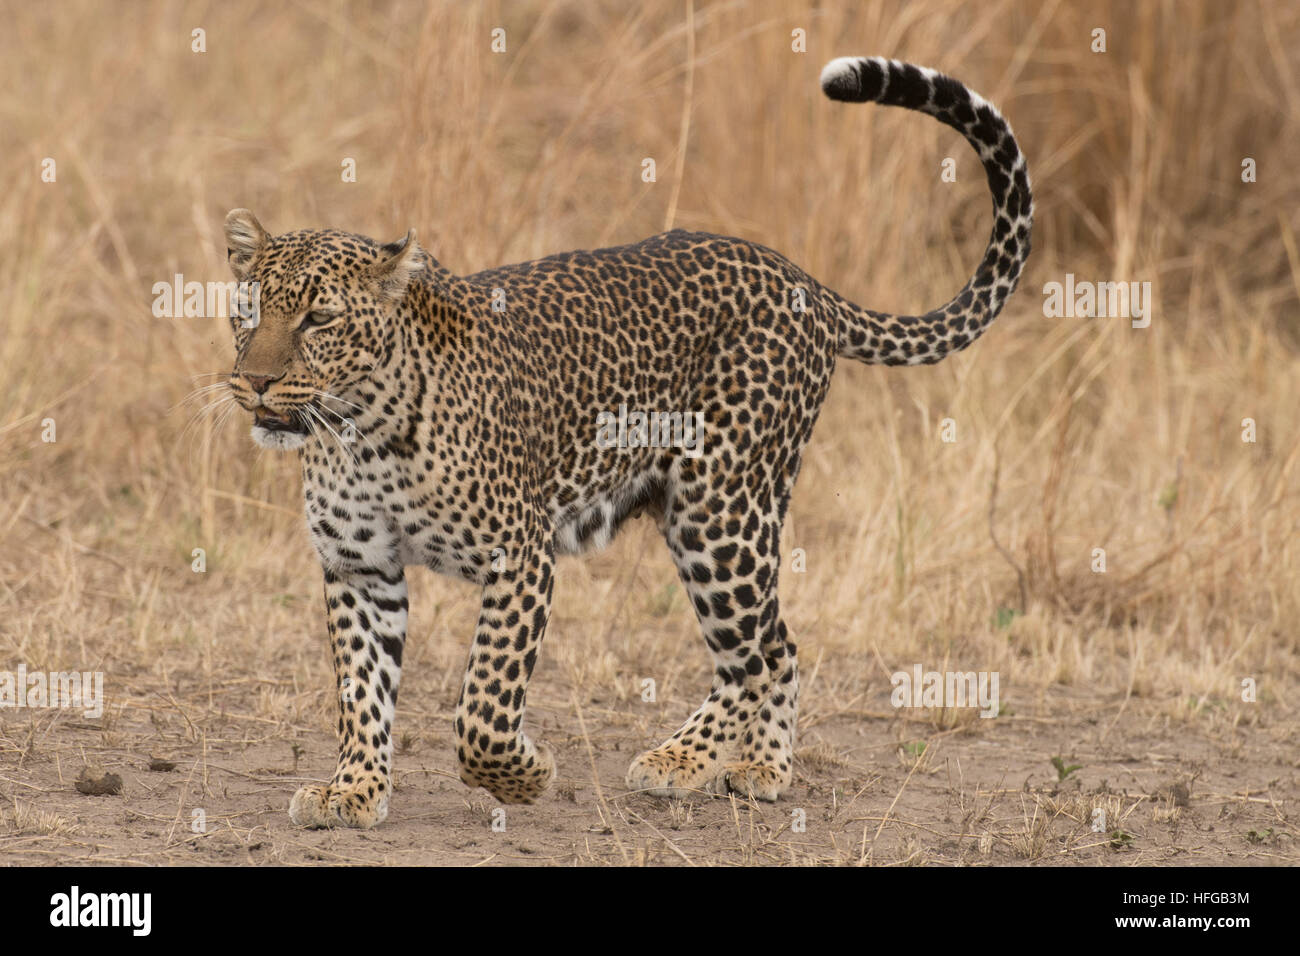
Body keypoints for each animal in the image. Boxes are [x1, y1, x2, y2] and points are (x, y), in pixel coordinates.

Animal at [220, 57, 1033, 828]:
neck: (360, 431)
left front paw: (524, 775)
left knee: (760, 653)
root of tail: (803, 279)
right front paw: (353, 791)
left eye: (320, 320)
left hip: (721, 510)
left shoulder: (521, 554)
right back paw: (761, 767)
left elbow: (484, 704)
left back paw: (682, 759)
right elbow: (362, 694)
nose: (255, 382)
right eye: (250, 309)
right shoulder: (360, 569)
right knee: (778, 643)